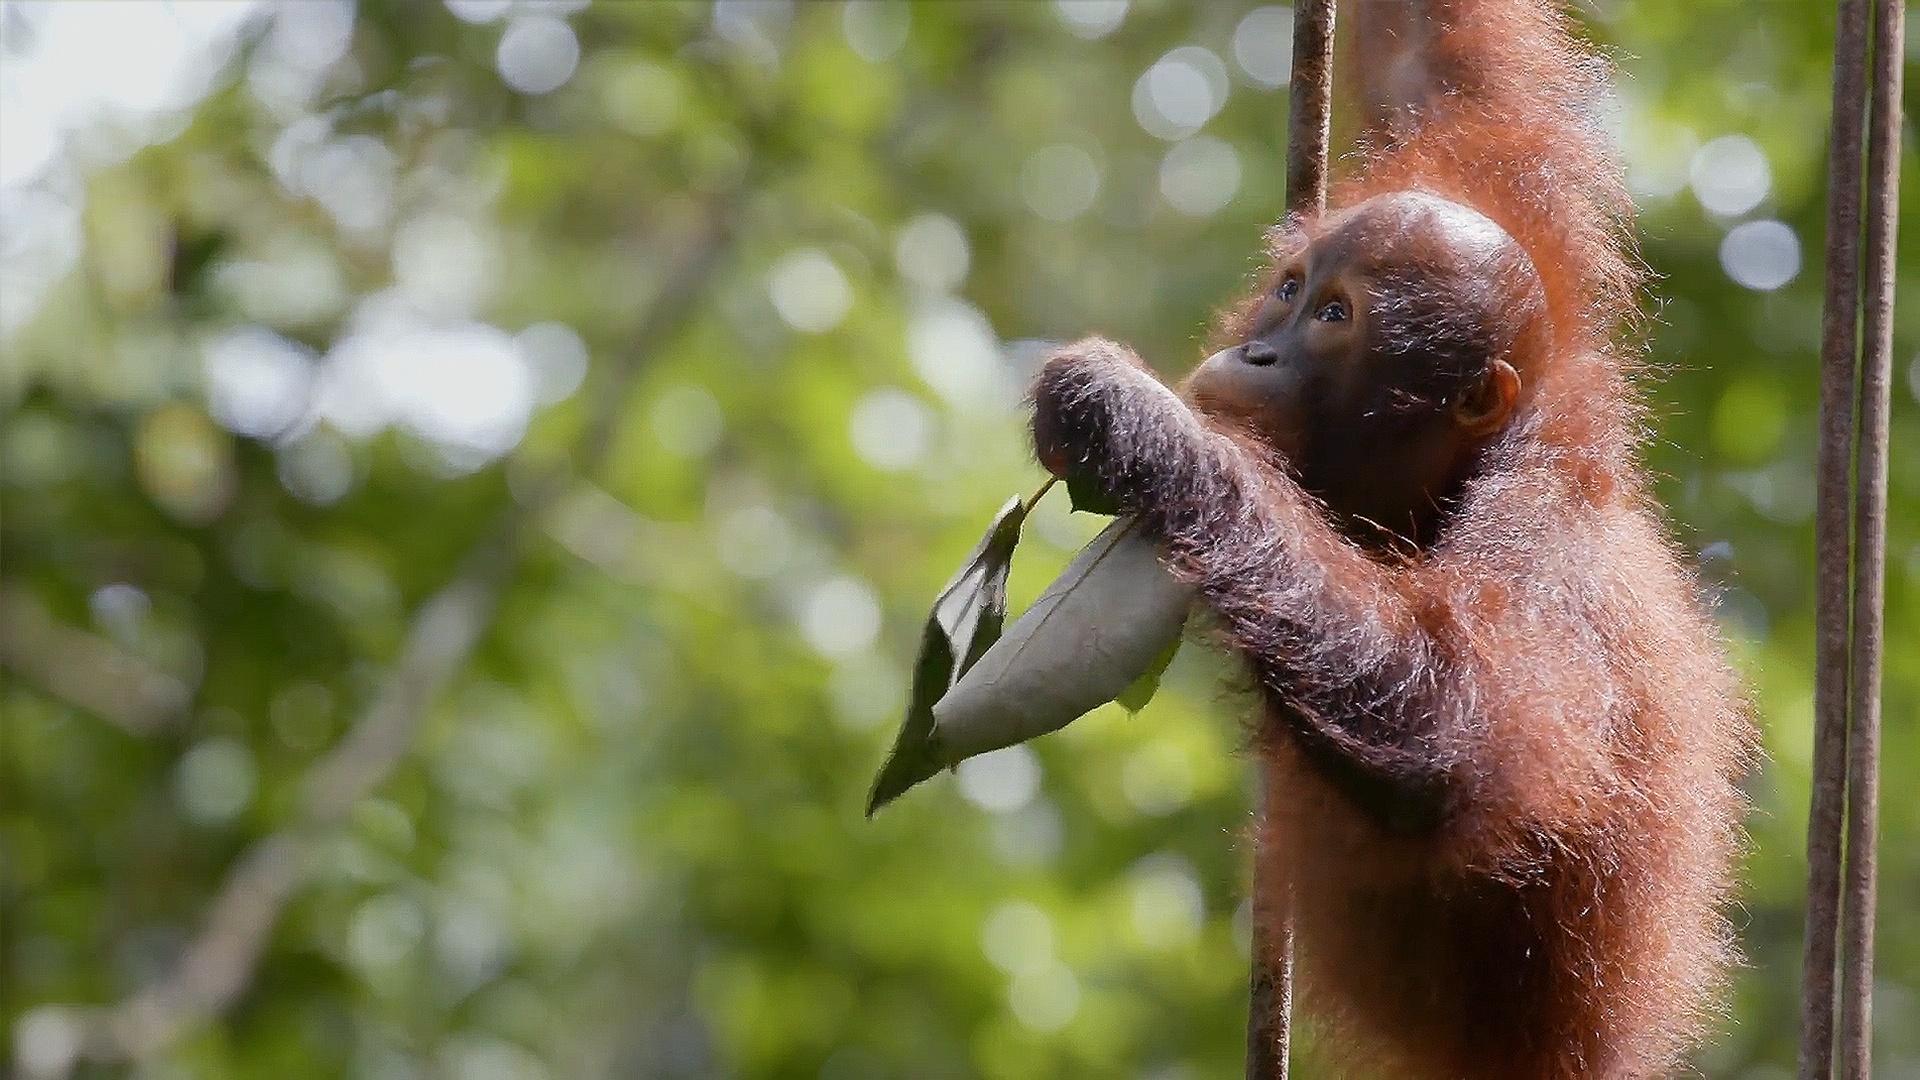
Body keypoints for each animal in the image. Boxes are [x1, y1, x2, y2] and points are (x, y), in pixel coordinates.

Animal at [1030, 1, 1754, 1076]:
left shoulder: (1548, 554)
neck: (1454, 476)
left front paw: (1135, 419)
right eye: (1291, 290)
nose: (1257, 352)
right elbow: (1435, 65)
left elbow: (1443, 737)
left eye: (1337, 316)